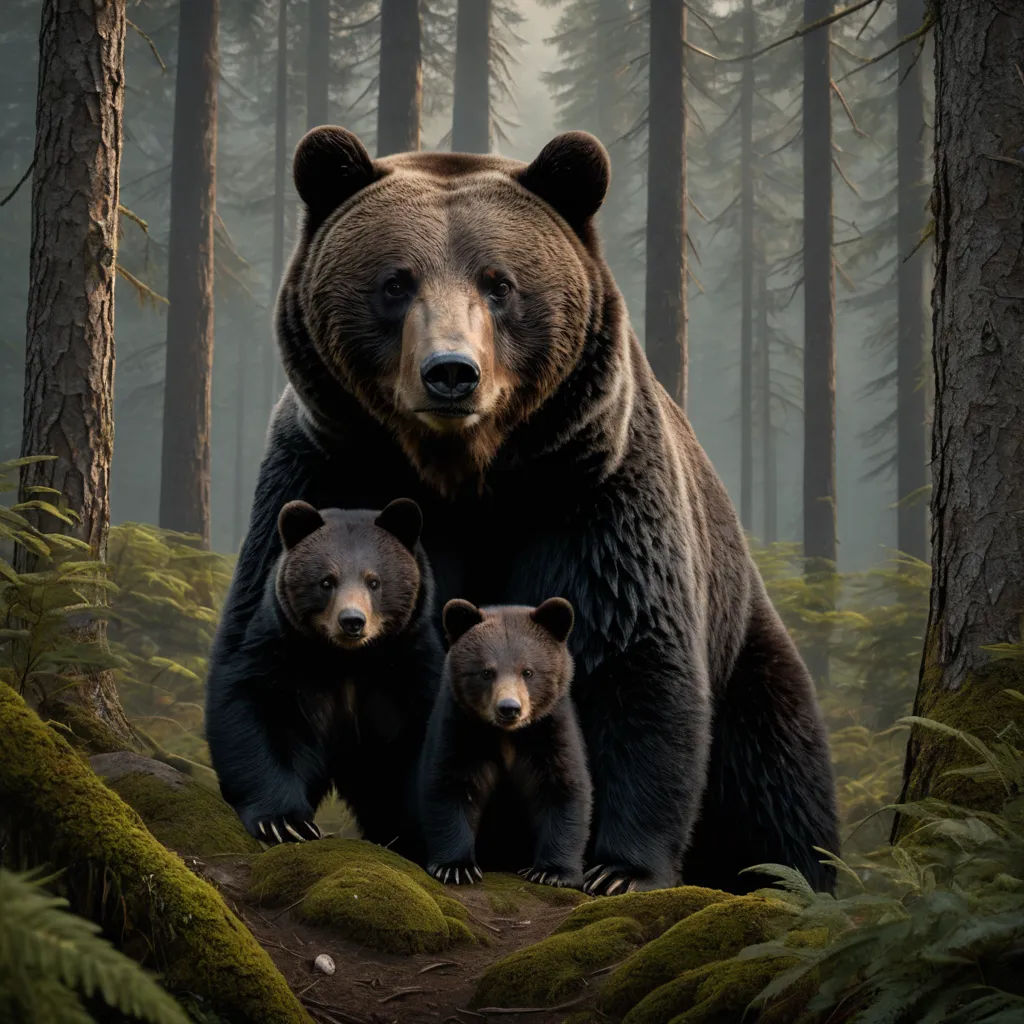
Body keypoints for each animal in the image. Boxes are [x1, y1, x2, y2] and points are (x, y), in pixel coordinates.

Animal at [205, 496, 442, 860]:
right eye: (327, 581)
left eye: (374, 581)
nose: (352, 621)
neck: (346, 660)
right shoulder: (280, 656)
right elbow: (255, 713)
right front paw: (287, 823)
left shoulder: (408, 670)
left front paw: (414, 839)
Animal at [419, 597, 592, 888]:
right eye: (486, 672)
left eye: (528, 671)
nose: (509, 708)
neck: (507, 735)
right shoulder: (460, 728)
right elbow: (451, 786)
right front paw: (456, 868)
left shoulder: (551, 731)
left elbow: (563, 788)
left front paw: (552, 872)